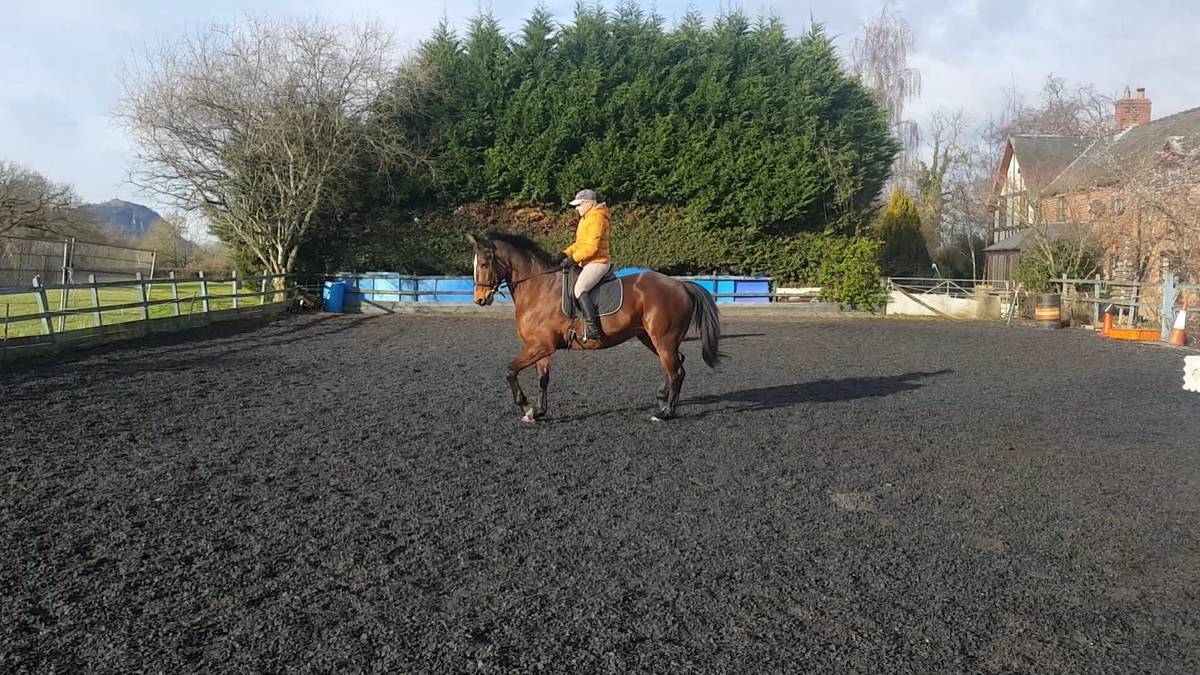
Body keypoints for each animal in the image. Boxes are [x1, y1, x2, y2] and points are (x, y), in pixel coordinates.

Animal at [468, 232, 722, 422]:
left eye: (484, 263)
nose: (479, 299)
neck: (538, 287)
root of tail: (681, 285)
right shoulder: (540, 347)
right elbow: (542, 379)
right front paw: (539, 411)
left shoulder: (540, 345)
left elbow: (510, 371)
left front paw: (527, 408)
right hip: (650, 338)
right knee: (677, 366)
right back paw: (662, 399)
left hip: (663, 339)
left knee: (675, 371)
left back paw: (665, 413)